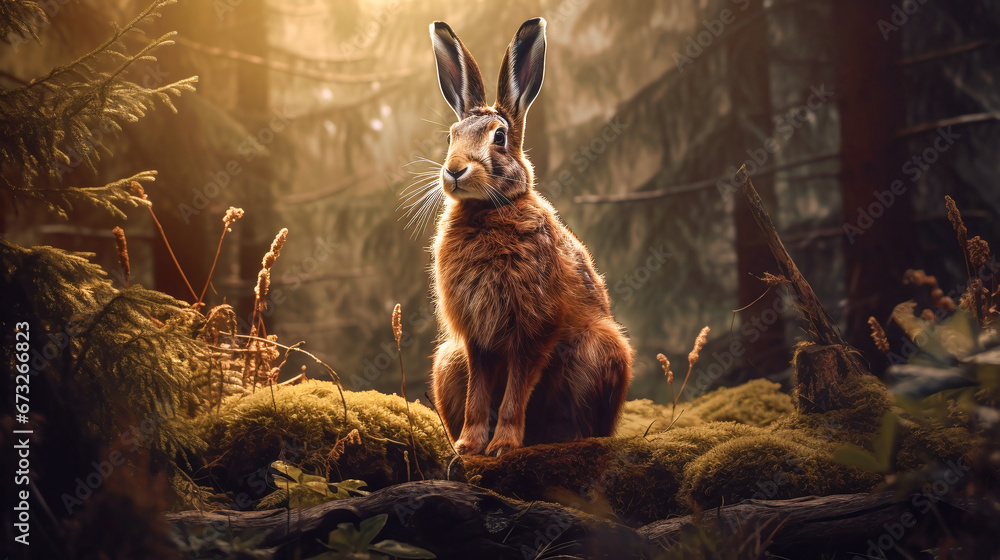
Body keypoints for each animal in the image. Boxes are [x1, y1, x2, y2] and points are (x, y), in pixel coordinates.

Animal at [427, 17, 633, 457]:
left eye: (499, 137)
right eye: (451, 136)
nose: (454, 170)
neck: (489, 210)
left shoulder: (531, 329)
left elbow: (516, 388)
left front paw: (502, 445)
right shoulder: (476, 339)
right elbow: (478, 394)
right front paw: (468, 445)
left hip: (597, 351)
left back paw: (562, 439)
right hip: (448, 360)